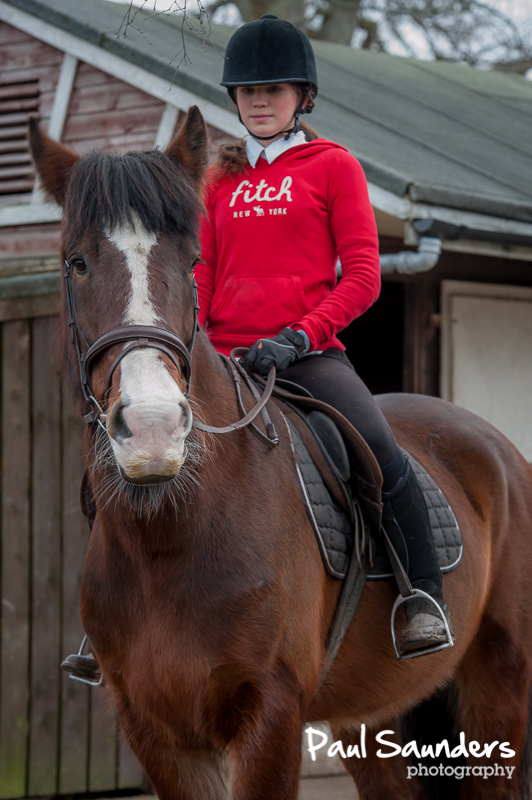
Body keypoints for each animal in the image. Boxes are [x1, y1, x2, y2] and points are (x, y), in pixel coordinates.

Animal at [29, 107, 532, 800]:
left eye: (190, 261)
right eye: (76, 262)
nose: (155, 429)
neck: (169, 541)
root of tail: (500, 450)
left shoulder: (269, 714)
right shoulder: (157, 731)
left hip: (498, 688)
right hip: (372, 721)